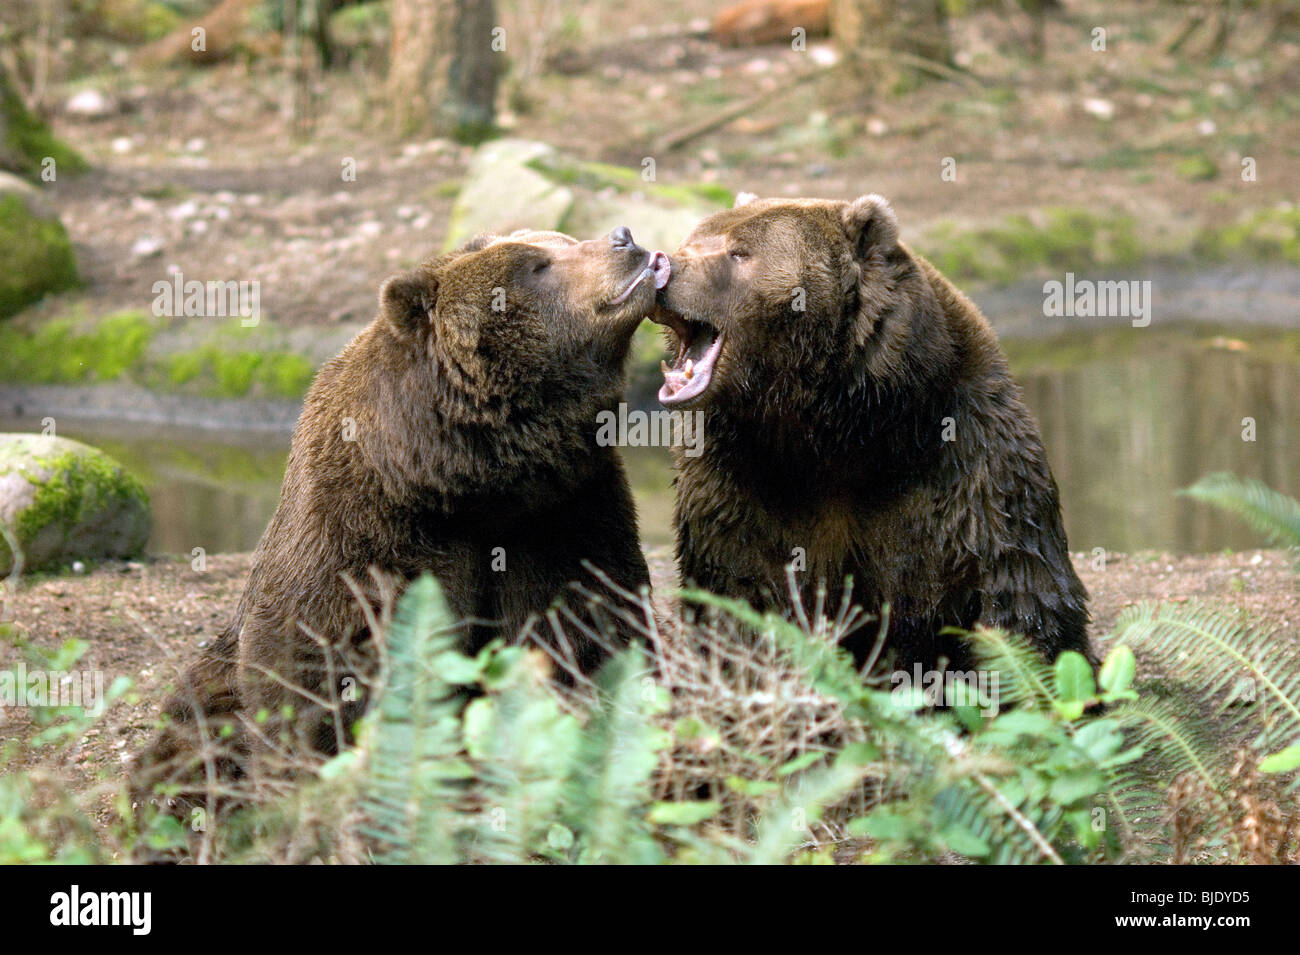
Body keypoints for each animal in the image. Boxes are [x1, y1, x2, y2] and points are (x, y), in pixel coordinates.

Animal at [135, 227, 671, 810]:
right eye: (537, 266)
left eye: (562, 240)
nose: (625, 239)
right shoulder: (359, 529)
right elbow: (317, 655)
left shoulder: (566, 511)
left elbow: (589, 623)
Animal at [652, 193, 1091, 677]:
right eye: (694, 238)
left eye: (738, 252)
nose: (661, 265)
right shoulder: (738, 475)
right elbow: (739, 584)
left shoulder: (962, 455)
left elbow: (1013, 585)